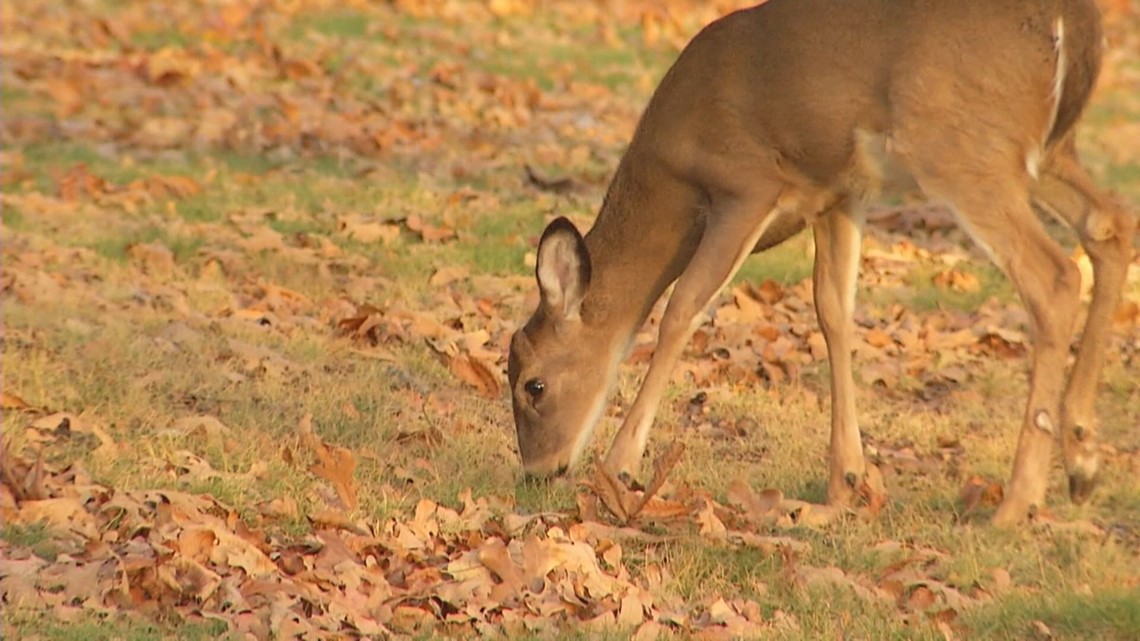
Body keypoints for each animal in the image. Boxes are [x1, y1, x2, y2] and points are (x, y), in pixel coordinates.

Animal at [506, 0, 1134, 526]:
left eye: (533, 385)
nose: (537, 472)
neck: (674, 177)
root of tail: (1075, 22)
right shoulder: (840, 193)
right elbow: (833, 311)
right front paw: (845, 482)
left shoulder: (749, 182)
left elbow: (681, 309)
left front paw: (619, 466)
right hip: (1045, 152)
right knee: (1109, 223)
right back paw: (1081, 463)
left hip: (959, 147)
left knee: (1055, 275)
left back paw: (1017, 503)